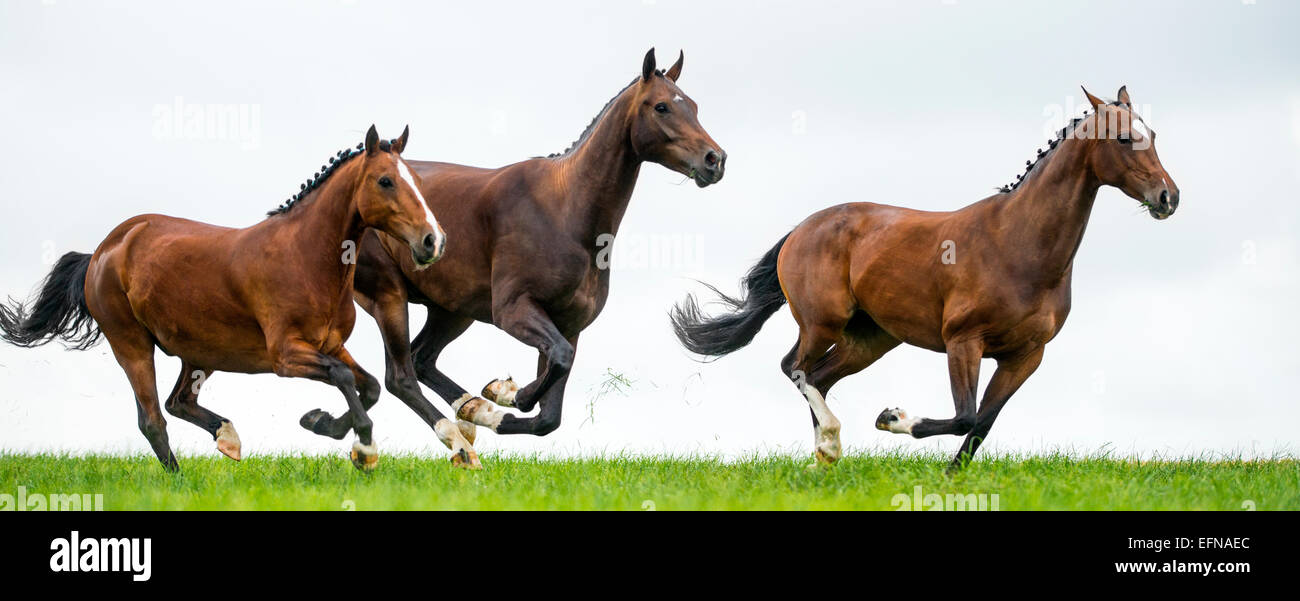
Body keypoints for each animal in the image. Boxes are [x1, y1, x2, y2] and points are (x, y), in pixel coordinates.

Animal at [0, 125, 462, 472]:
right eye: (385, 181)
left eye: (417, 180)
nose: (433, 241)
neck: (306, 257)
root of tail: (103, 250)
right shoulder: (285, 355)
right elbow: (346, 379)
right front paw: (362, 448)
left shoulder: (330, 345)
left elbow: (369, 386)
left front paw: (322, 423)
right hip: (131, 345)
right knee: (152, 419)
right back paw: (180, 480)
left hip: (199, 353)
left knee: (178, 402)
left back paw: (228, 437)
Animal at [326, 49, 725, 466]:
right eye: (662, 106)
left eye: (693, 106)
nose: (715, 160)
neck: (565, 210)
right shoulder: (515, 311)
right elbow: (555, 367)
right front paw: (507, 393)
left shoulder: (568, 324)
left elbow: (550, 414)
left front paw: (495, 403)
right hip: (390, 295)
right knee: (400, 377)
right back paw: (452, 439)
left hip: (452, 310)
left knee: (421, 360)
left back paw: (470, 413)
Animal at [671, 87, 1179, 469]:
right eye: (1122, 138)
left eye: (1152, 133)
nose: (1168, 197)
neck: (1018, 244)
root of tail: (803, 228)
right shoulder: (963, 342)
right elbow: (964, 417)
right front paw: (890, 417)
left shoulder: (1025, 357)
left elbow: (982, 425)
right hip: (822, 323)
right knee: (794, 368)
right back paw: (830, 444)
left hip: (869, 339)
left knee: (820, 377)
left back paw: (826, 459)